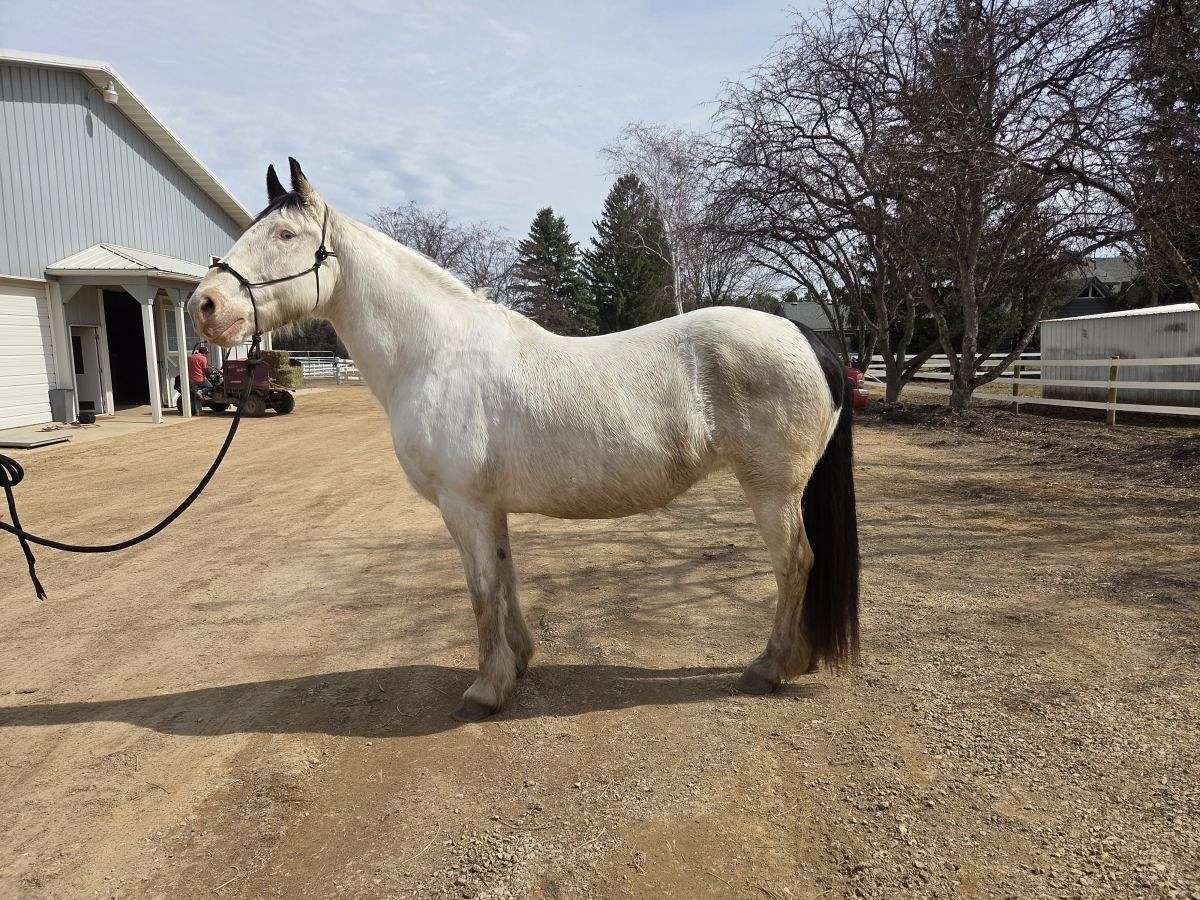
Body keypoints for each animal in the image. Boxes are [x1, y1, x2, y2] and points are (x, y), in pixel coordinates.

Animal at [189, 158, 859, 721]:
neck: (435, 352)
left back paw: (769, 668)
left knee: (795, 563)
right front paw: (520, 662)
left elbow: (481, 591)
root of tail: (808, 341)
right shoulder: (490, 507)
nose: (205, 304)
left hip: (771, 490)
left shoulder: (463, 505)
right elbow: (506, 580)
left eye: (284, 236)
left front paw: (486, 691)